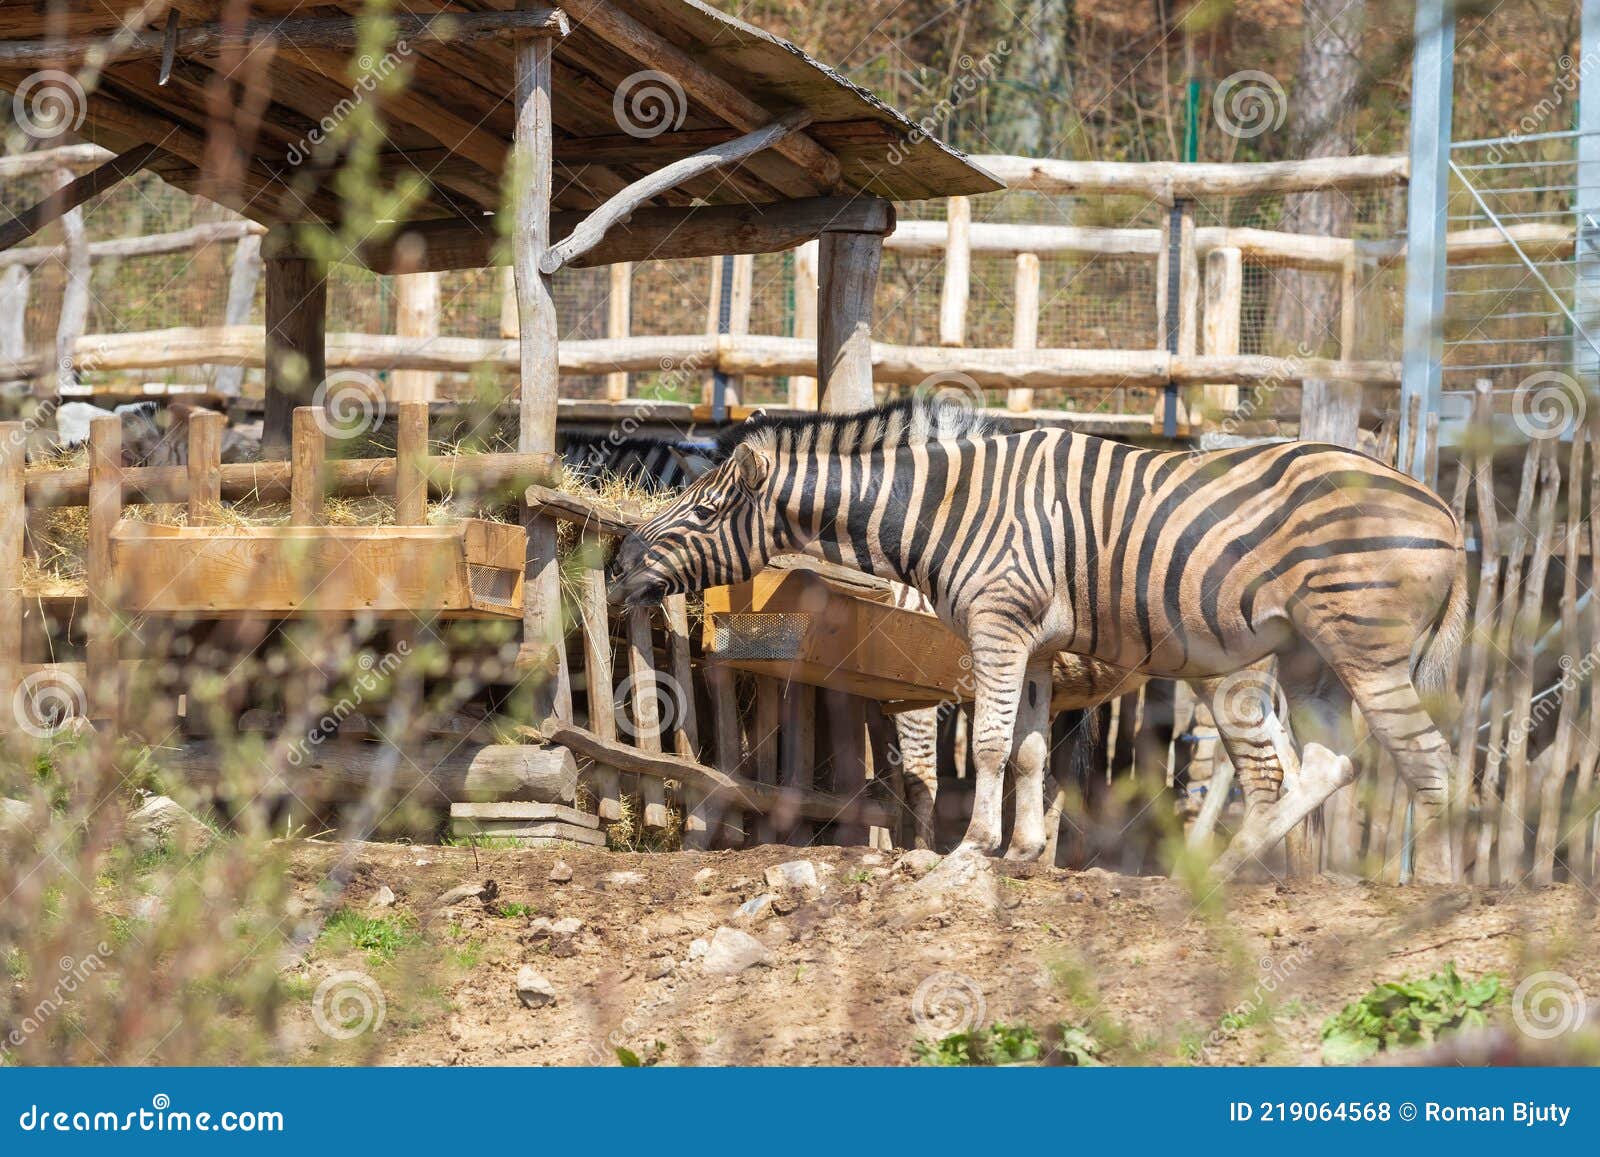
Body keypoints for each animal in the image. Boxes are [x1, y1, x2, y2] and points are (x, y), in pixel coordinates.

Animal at [607, 397, 1466, 881]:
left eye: (703, 512)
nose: (617, 563)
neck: (946, 509)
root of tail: (1446, 510)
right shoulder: (1038, 645)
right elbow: (1026, 750)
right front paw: (1020, 851)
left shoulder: (993, 628)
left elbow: (974, 750)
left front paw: (964, 847)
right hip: (1308, 658)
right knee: (1321, 764)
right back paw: (1238, 870)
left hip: (1337, 653)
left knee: (1411, 762)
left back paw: (1432, 891)